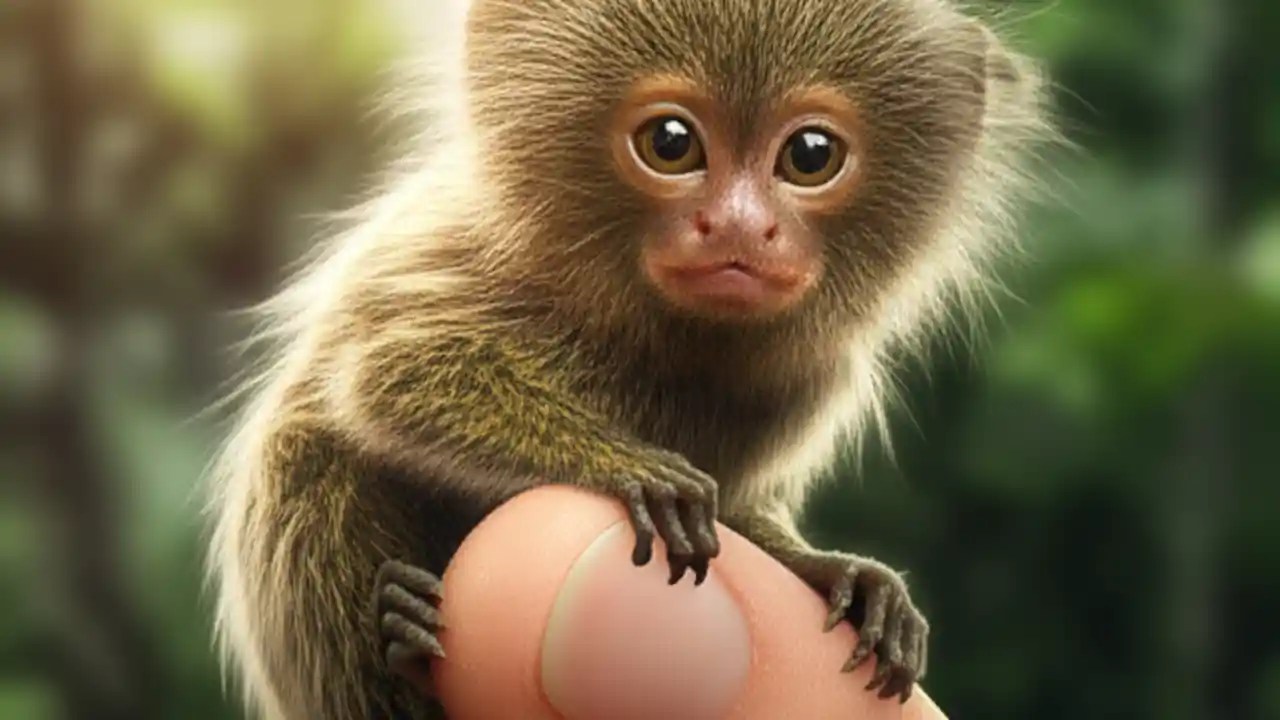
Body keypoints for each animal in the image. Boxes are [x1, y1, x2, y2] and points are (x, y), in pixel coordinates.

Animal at [206, 0, 1049, 717]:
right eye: (671, 144)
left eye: (812, 156)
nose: (737, 226)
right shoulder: (466, 264)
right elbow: (397, 374)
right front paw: (628, 467)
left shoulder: (805, 381)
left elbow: (746, 507)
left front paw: (835, 571)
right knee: (303, 461)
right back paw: (397, 629)